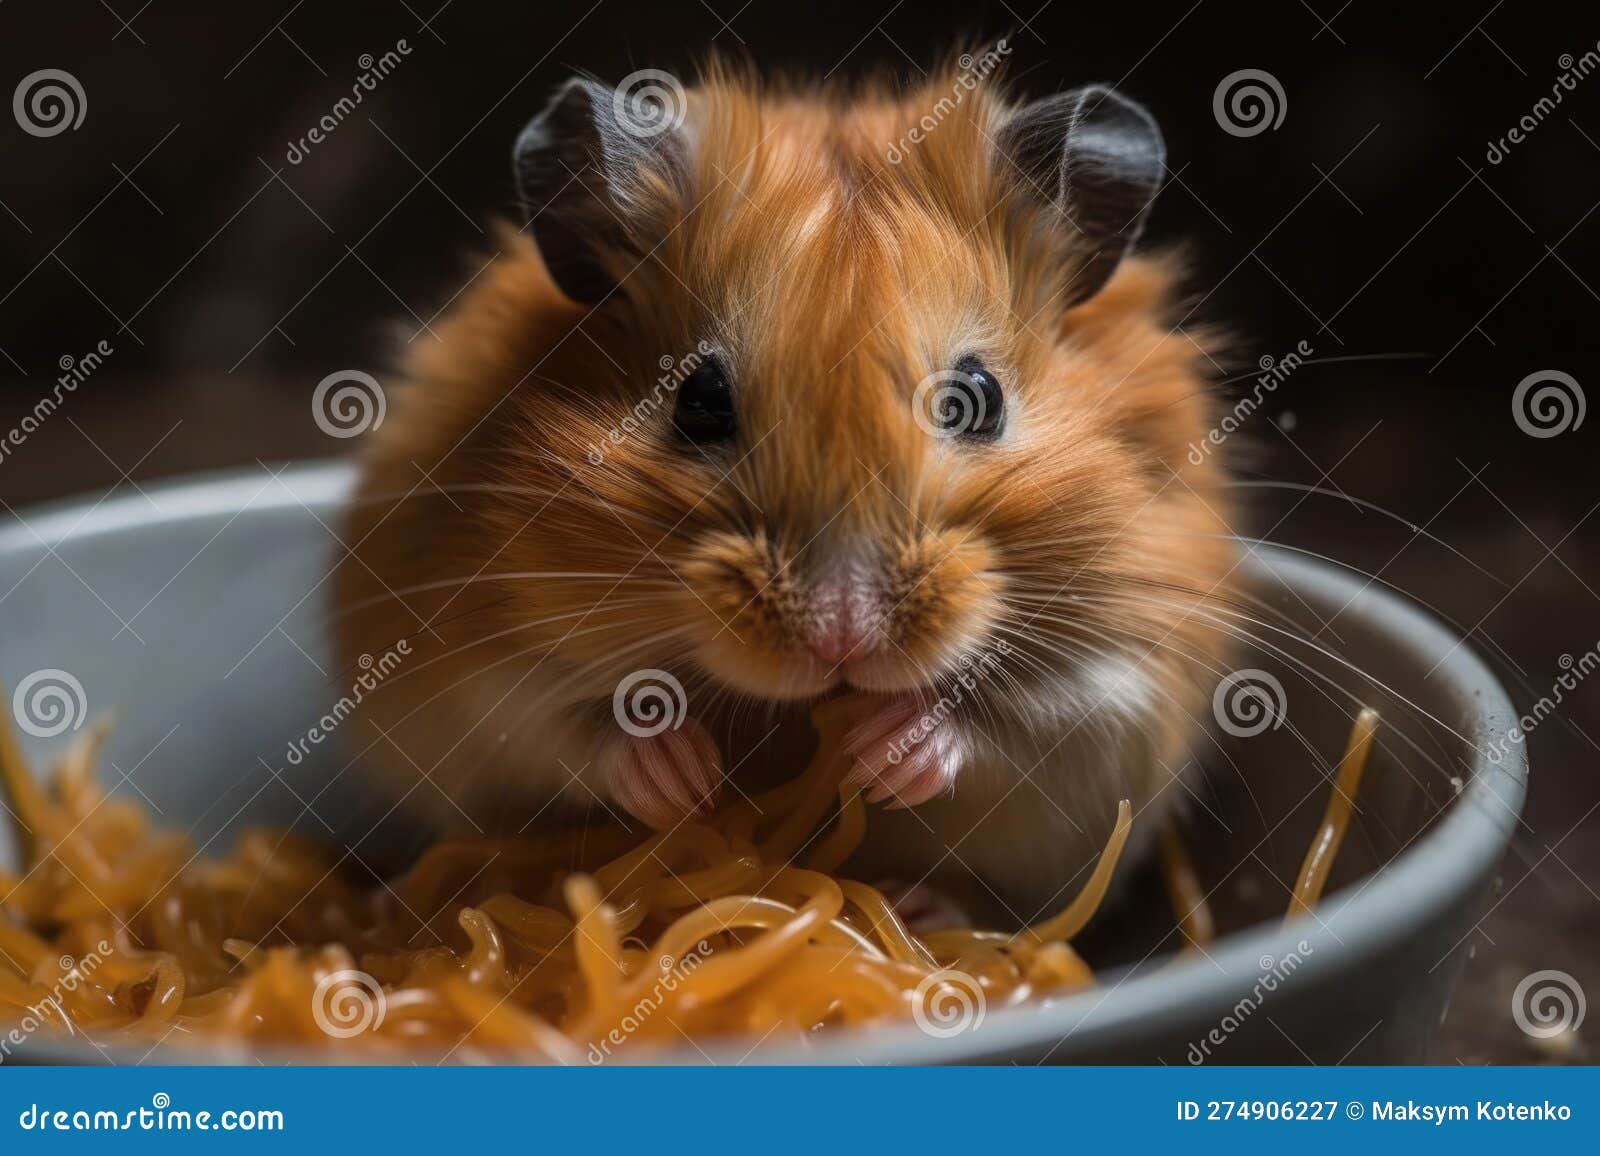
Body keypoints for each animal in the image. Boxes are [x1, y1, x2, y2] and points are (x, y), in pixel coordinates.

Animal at [332, 58, 1237, 925]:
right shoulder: (462, 666)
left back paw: (926, 909)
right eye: (696, 400)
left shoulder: (1129, 679)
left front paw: (885, 753)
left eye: (976, 399)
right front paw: (686, 777)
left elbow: (1024, 723)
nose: (842, 642)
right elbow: (559, 726)